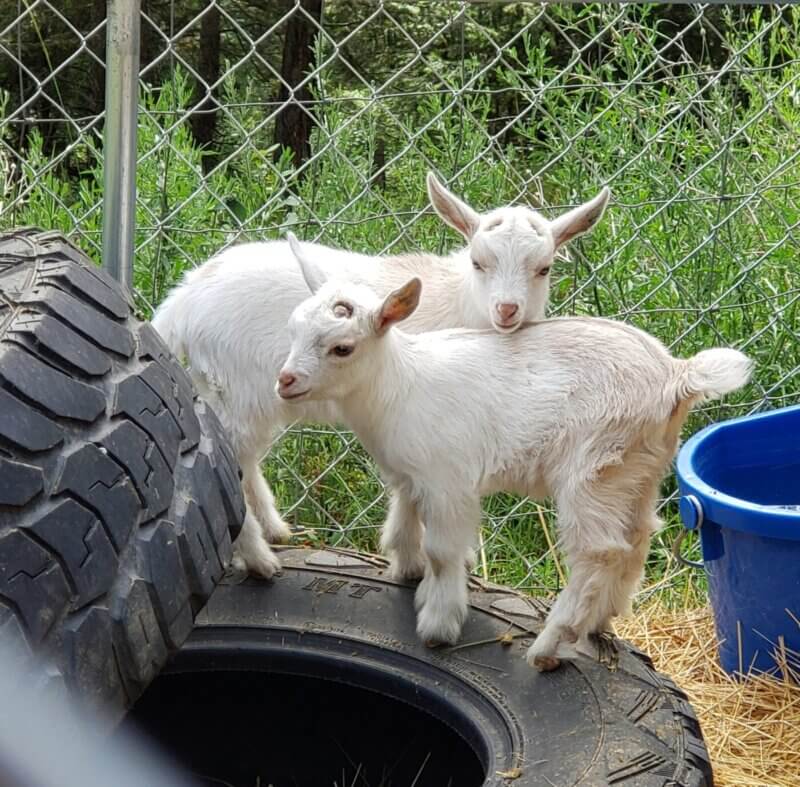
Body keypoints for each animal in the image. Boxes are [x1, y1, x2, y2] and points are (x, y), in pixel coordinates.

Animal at [152, 174, 610, 578]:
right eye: (478, 262)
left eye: (544, 268)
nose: (508, 310)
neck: (461, 303)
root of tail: (183, 300)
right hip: (240, 394)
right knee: (226, 461)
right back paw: (259, 557)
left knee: (242, 461)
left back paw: (275, 530)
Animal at [279, 236, 752, 670]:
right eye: (294, 329)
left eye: (343, 347)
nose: (284, 381)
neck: (398, 384)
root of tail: (677, 375)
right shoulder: (411, 477)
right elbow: (402, 527)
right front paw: (407, 575)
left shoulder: (448, 483)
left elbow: (443, 552)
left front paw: (438, 624)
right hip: (637, 468)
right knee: (636, 541)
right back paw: (599, 624)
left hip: (592, 470)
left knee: (599, 552)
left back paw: (550, 646)